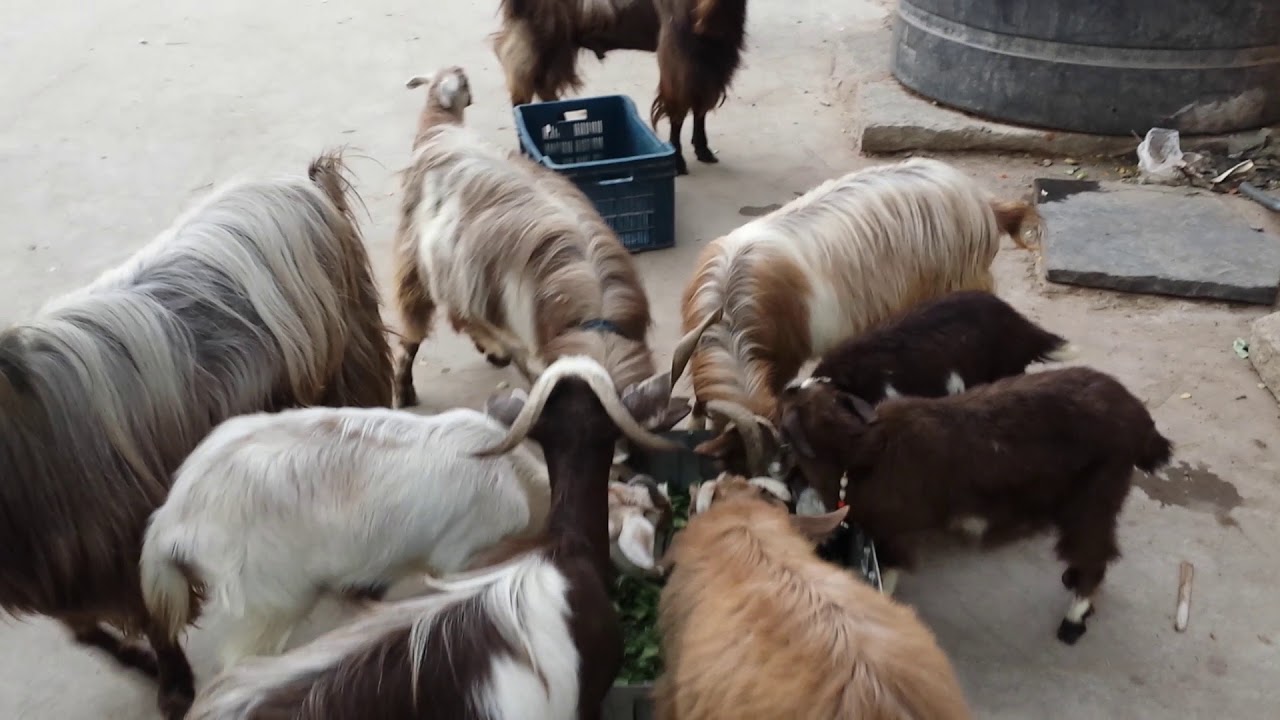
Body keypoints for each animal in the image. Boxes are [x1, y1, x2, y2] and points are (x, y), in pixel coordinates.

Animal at [0, 151, 393, 719]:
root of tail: (312, 187)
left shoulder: (124, 545)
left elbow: (153, 618)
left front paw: (173, 687)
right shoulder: (70, 576)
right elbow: (85, 631)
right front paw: (135, 660)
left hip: (347, 364)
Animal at [492, 0, 748, 175]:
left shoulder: (713, 57)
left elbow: (700, 107)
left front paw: (703, 150)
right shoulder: (680, 57)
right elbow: (679, 110)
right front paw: (678, 161)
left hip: (559, 43)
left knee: (543, 87)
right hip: (538, 35)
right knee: (522, 87)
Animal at [775, 366, 1174, 644]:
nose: (787, 386)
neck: (859, 449)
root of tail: (1141, 422)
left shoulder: (891, 531)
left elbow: (889, 571)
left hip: (1095, 498)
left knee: (1095, 553)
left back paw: (1073, 622)